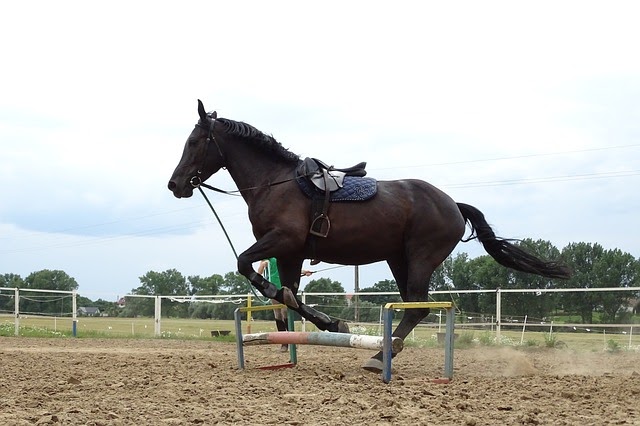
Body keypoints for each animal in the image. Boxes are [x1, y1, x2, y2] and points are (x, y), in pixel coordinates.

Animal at [168, 100, 571, 372]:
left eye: (194, 142)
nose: (175, 184)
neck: (275, 183)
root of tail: (453, 204)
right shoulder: (291, 253)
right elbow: (288, 295)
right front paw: (329, 323)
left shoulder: (283, 240)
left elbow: (248, 267)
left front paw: (330, 322)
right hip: (397, 259)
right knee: (413, 306)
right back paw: (383, 352)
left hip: (420, 256)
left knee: (418, 306)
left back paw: (380, 357)